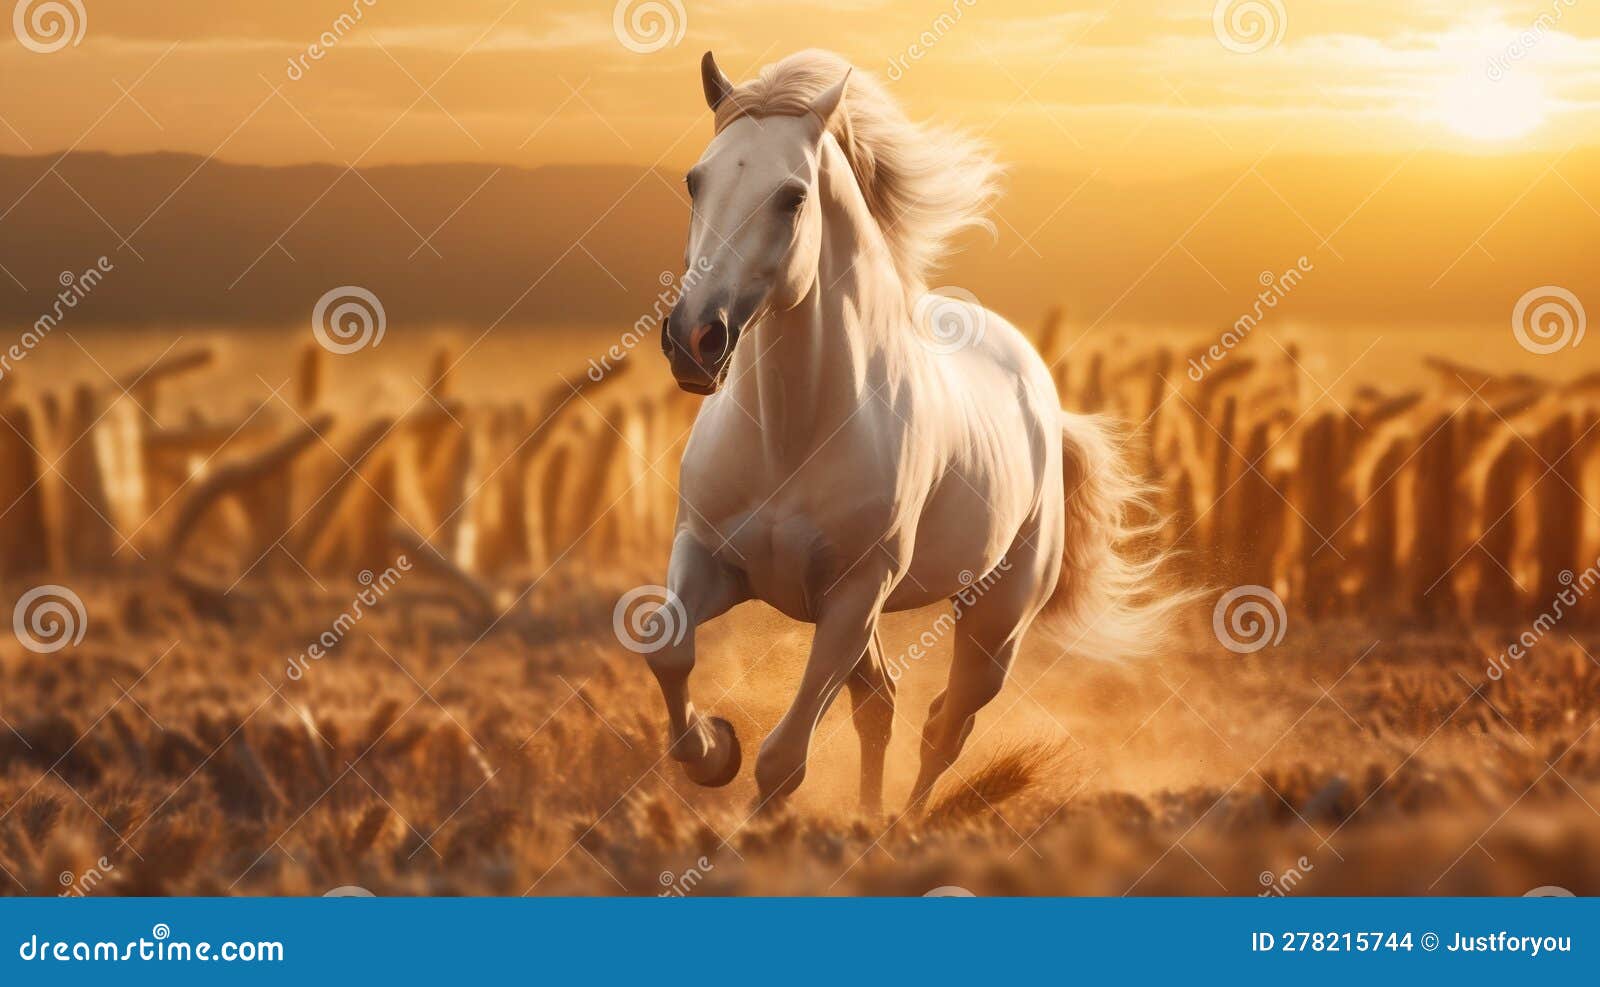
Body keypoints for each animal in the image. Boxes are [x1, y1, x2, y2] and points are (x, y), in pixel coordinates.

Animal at [644, 49, 1170, 816]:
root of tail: (1043, 397)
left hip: (993, 623)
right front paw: (715, 751)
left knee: (945, 726)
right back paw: (868, 816)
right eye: (695, 179)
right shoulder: (711, 557)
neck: (793, 435)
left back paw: (905, 825)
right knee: (884, 706)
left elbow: (784, 759)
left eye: (792, 197)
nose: (693, 340)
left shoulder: (853, 599)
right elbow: (668, 648)